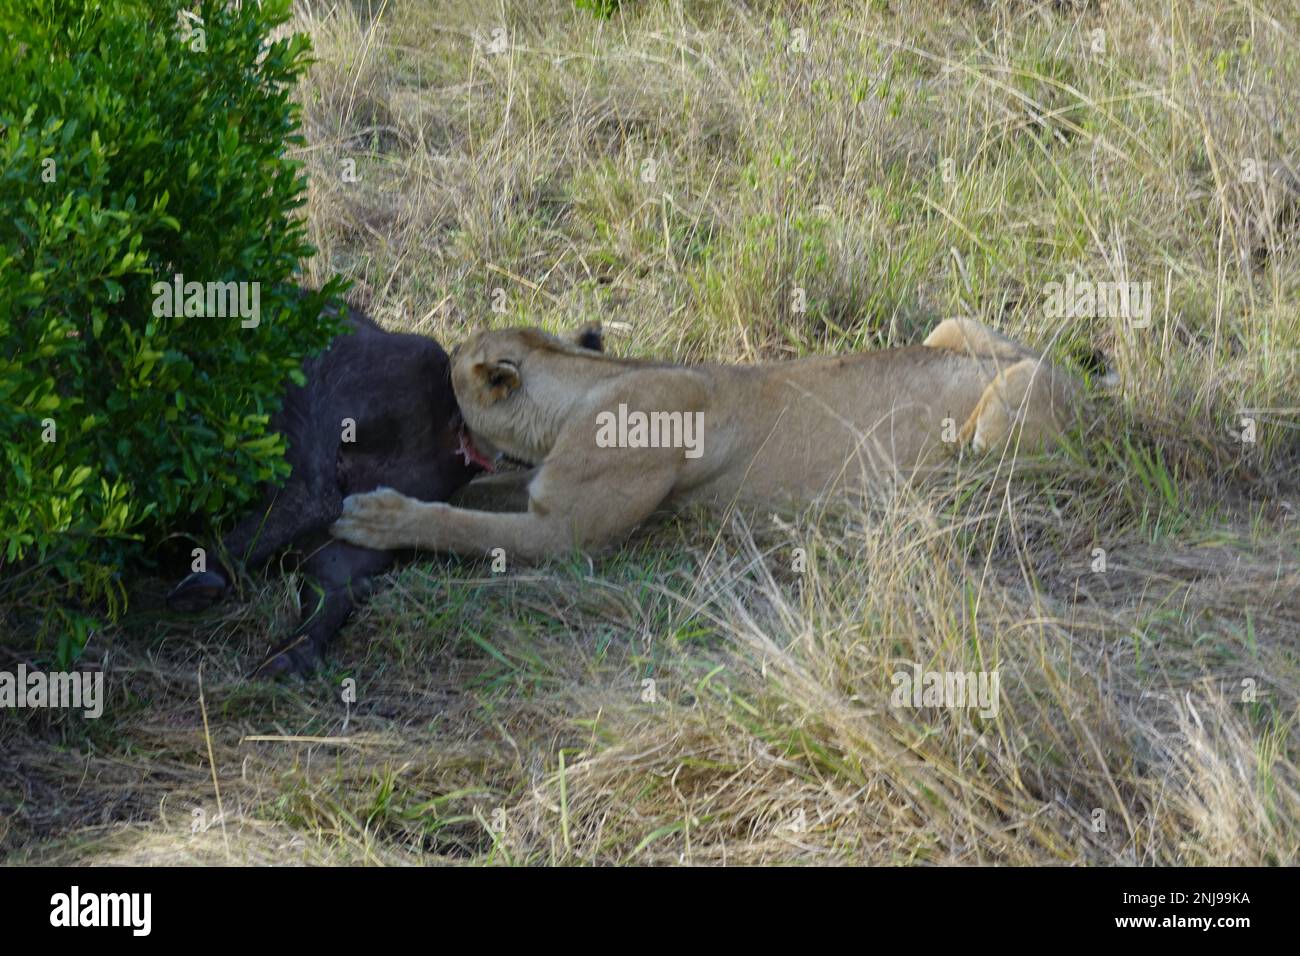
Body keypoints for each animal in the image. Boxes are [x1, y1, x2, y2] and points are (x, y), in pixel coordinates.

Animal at [329, 318, 1082, 560]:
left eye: (449, 374)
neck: (590, 383)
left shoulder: (567, 535)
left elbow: (463, 524)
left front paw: (379, 517)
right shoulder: (541, 484)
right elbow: (485, 489)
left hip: (1000, 419)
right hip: (952, 330)